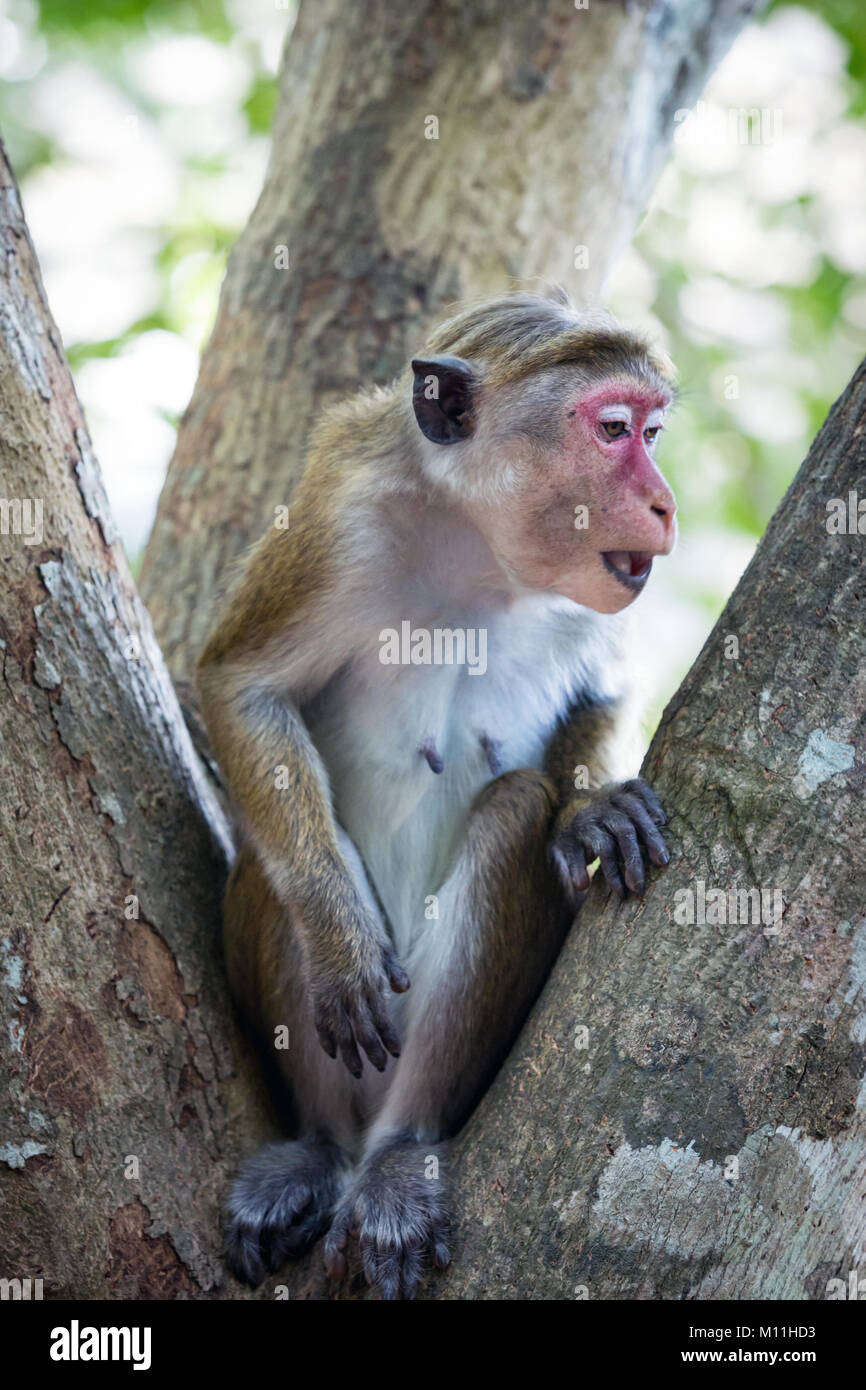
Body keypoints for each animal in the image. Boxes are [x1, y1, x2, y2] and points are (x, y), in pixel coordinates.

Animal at [196, 288, 676, 1300]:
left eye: (654, 431)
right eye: (614, 430)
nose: (664, 502)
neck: (475, 551)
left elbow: (601, 694)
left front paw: (592, 808)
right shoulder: (339, 514)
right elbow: (243, 686)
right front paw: (339, 940)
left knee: (510, 815)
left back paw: (396, 1157)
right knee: (278, 856)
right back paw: (320, 1149)